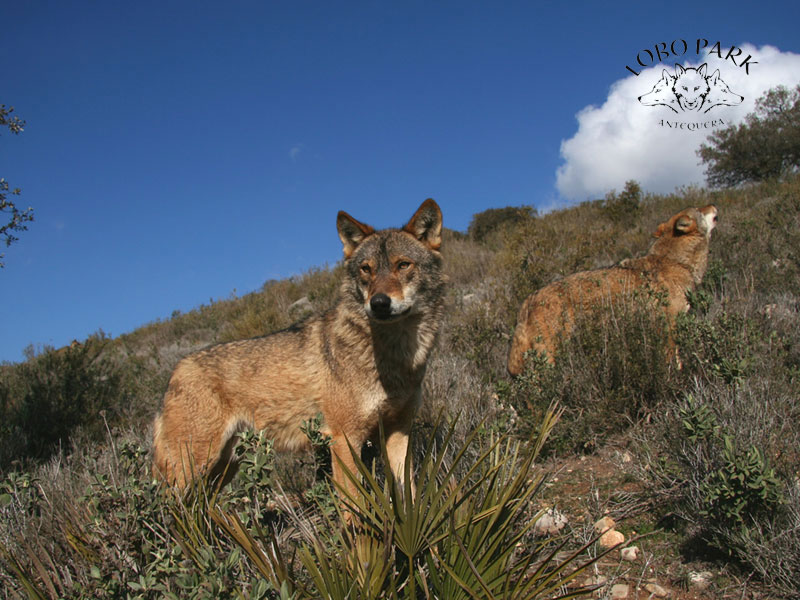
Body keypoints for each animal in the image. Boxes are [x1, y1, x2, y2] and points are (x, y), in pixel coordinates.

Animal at [153, 199, 445, 501]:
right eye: (367, 269)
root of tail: (175, 371)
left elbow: (409, 495)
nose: (378, 303)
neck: (396, 355)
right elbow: (353, 505)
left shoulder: (399, 432)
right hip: (190, 470)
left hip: (220, 470)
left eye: (403, 265)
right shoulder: (344, 439)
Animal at [507, 205, 718, 375]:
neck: (676, 262)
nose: (713, 204)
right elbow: (675, 362)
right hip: (550, 357)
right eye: (699, 209)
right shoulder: (669, 326)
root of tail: (528, 301)